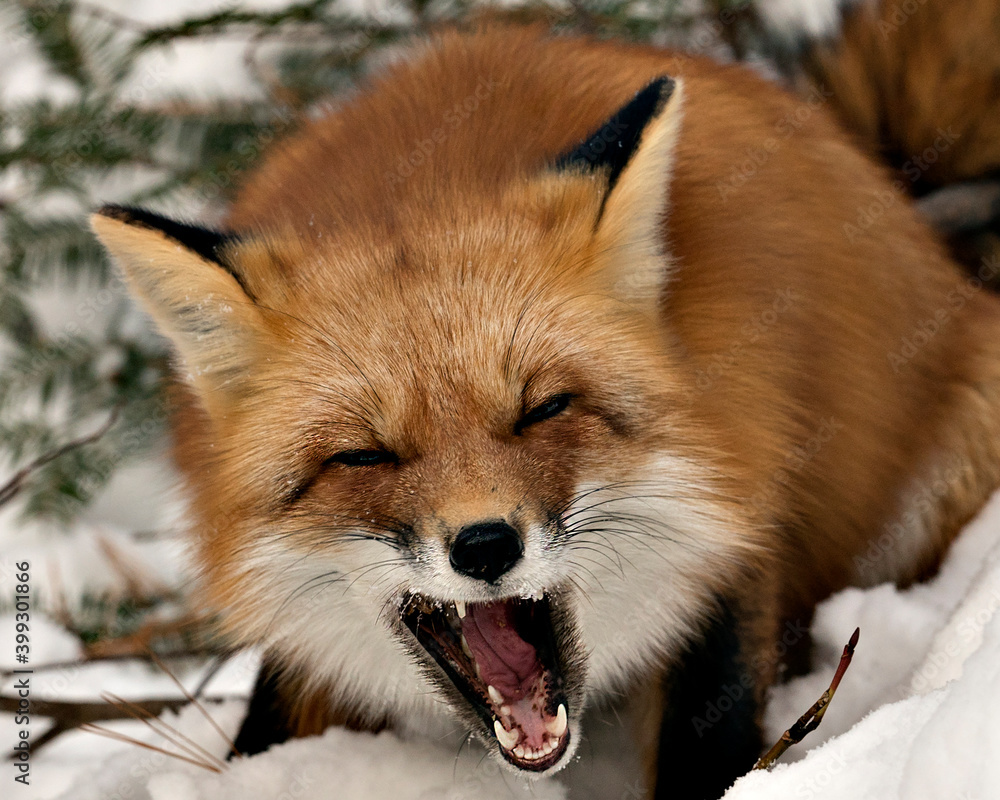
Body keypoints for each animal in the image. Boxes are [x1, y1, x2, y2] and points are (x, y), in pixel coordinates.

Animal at [91, 6, 1000, 800]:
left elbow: (709, 735)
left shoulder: (733, 524)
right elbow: (269, 731)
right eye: (364, 454)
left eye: (543, 409)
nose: (485, 545)